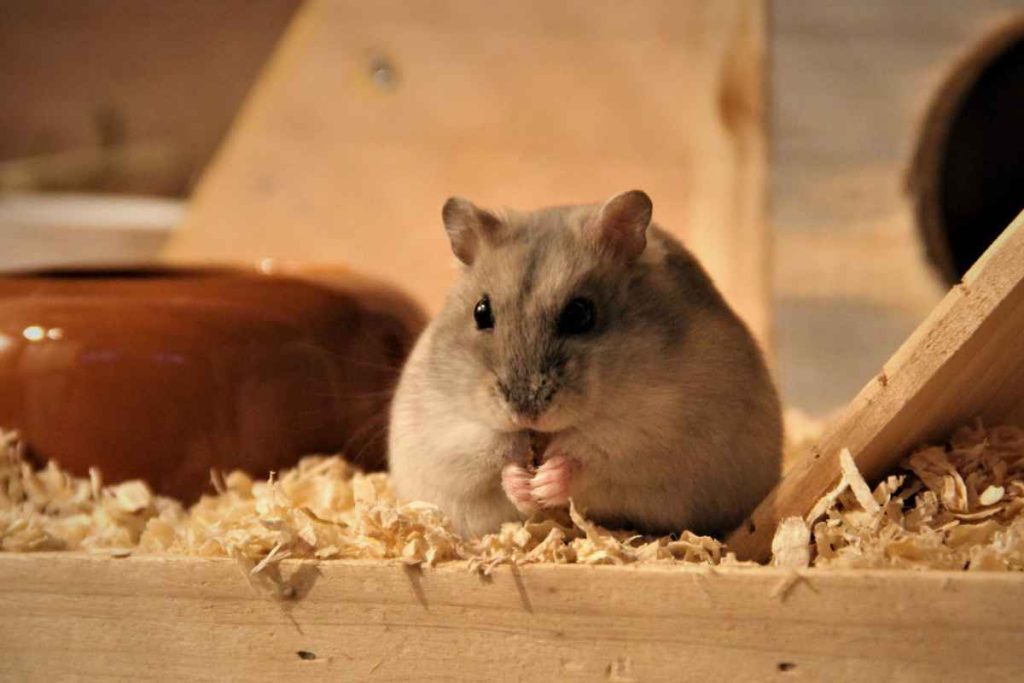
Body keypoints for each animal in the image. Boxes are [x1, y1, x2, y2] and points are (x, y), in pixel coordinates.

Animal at [388, 190, 782, 539]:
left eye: (580, 313)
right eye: (480, 312)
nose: (524, 412)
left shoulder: (657, 433)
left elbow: (591, 457)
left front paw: (545, 483)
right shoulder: (443, 433)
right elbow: (490, 458)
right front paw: (523, 481)